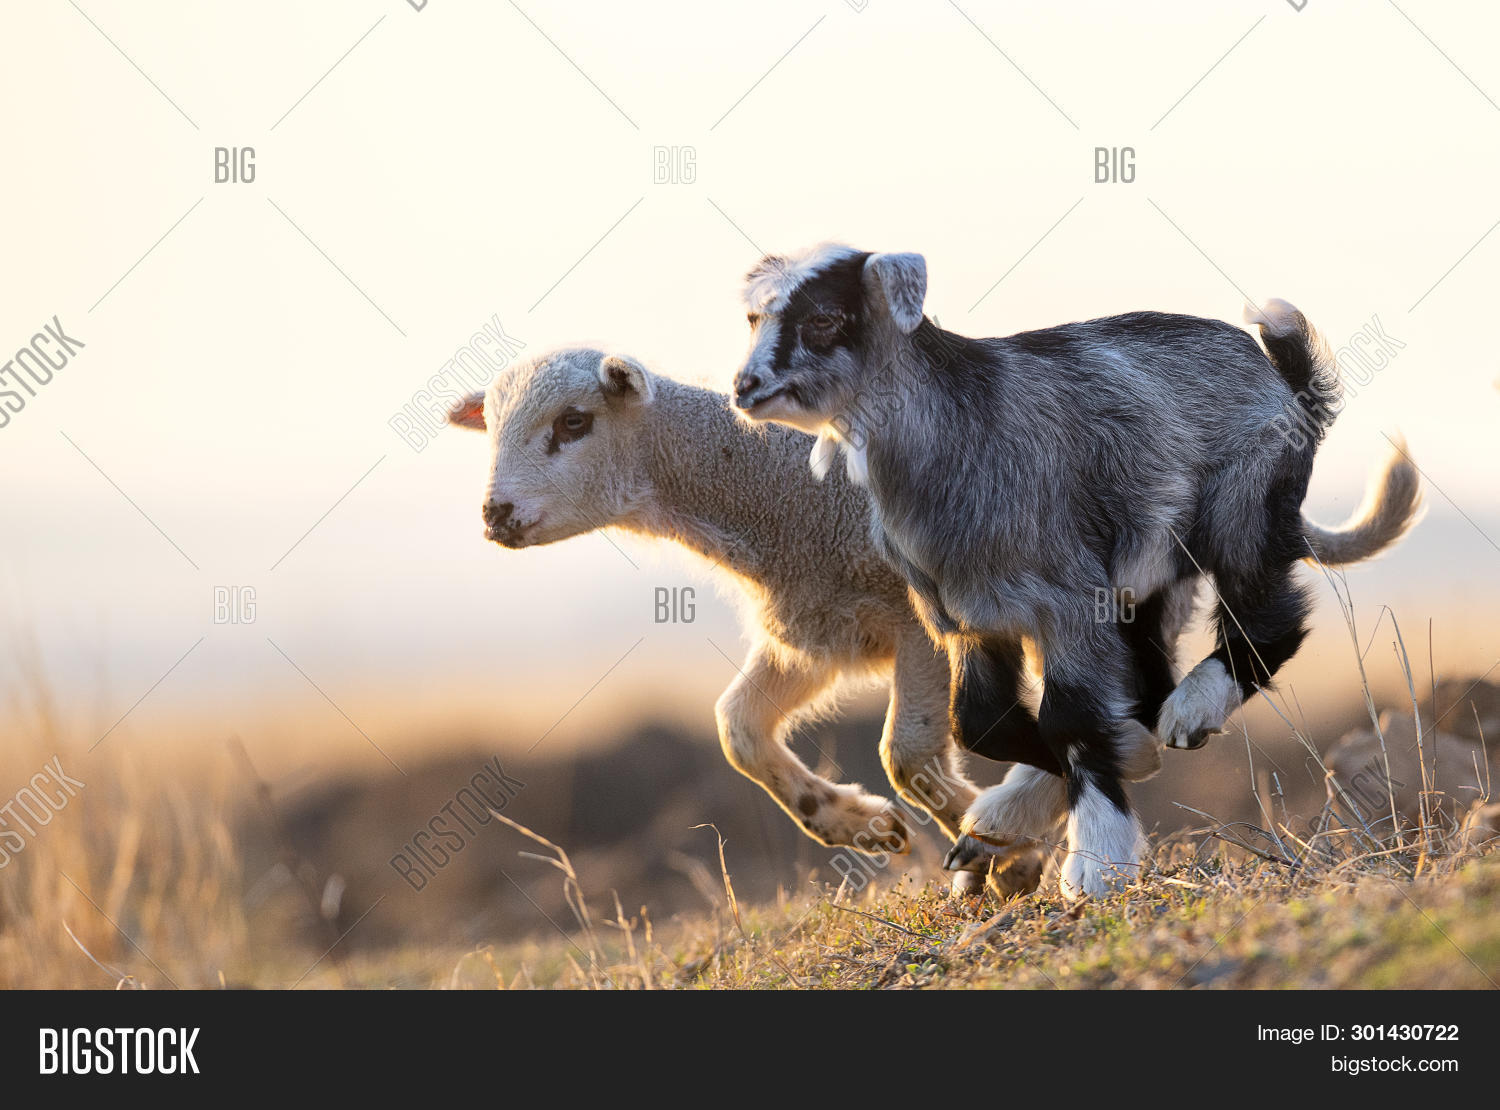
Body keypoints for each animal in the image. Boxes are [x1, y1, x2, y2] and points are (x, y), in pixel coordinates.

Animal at [446, 346, 1040, 893]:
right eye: (491, 429)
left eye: (573, 422)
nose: (494, 515)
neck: (787, 501)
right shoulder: (816, 628)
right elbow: (737, 728)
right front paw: (858, 823)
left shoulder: (924, 622)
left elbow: (909, 754)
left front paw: (1005, 855)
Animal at [731, 243, 1422, 897]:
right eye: (754, 317)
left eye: (822, 319)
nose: (744, 387)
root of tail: (1286, 382)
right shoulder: (970, 621)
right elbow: (981, 720)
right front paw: (1064, 797)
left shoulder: (1066, 602)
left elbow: (1068, 720)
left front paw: (1097, 861)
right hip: (1148, 580)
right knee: (1146, 679)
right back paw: (1013, 812)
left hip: (1241, 513)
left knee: (1269, 620)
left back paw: (1192, 710)